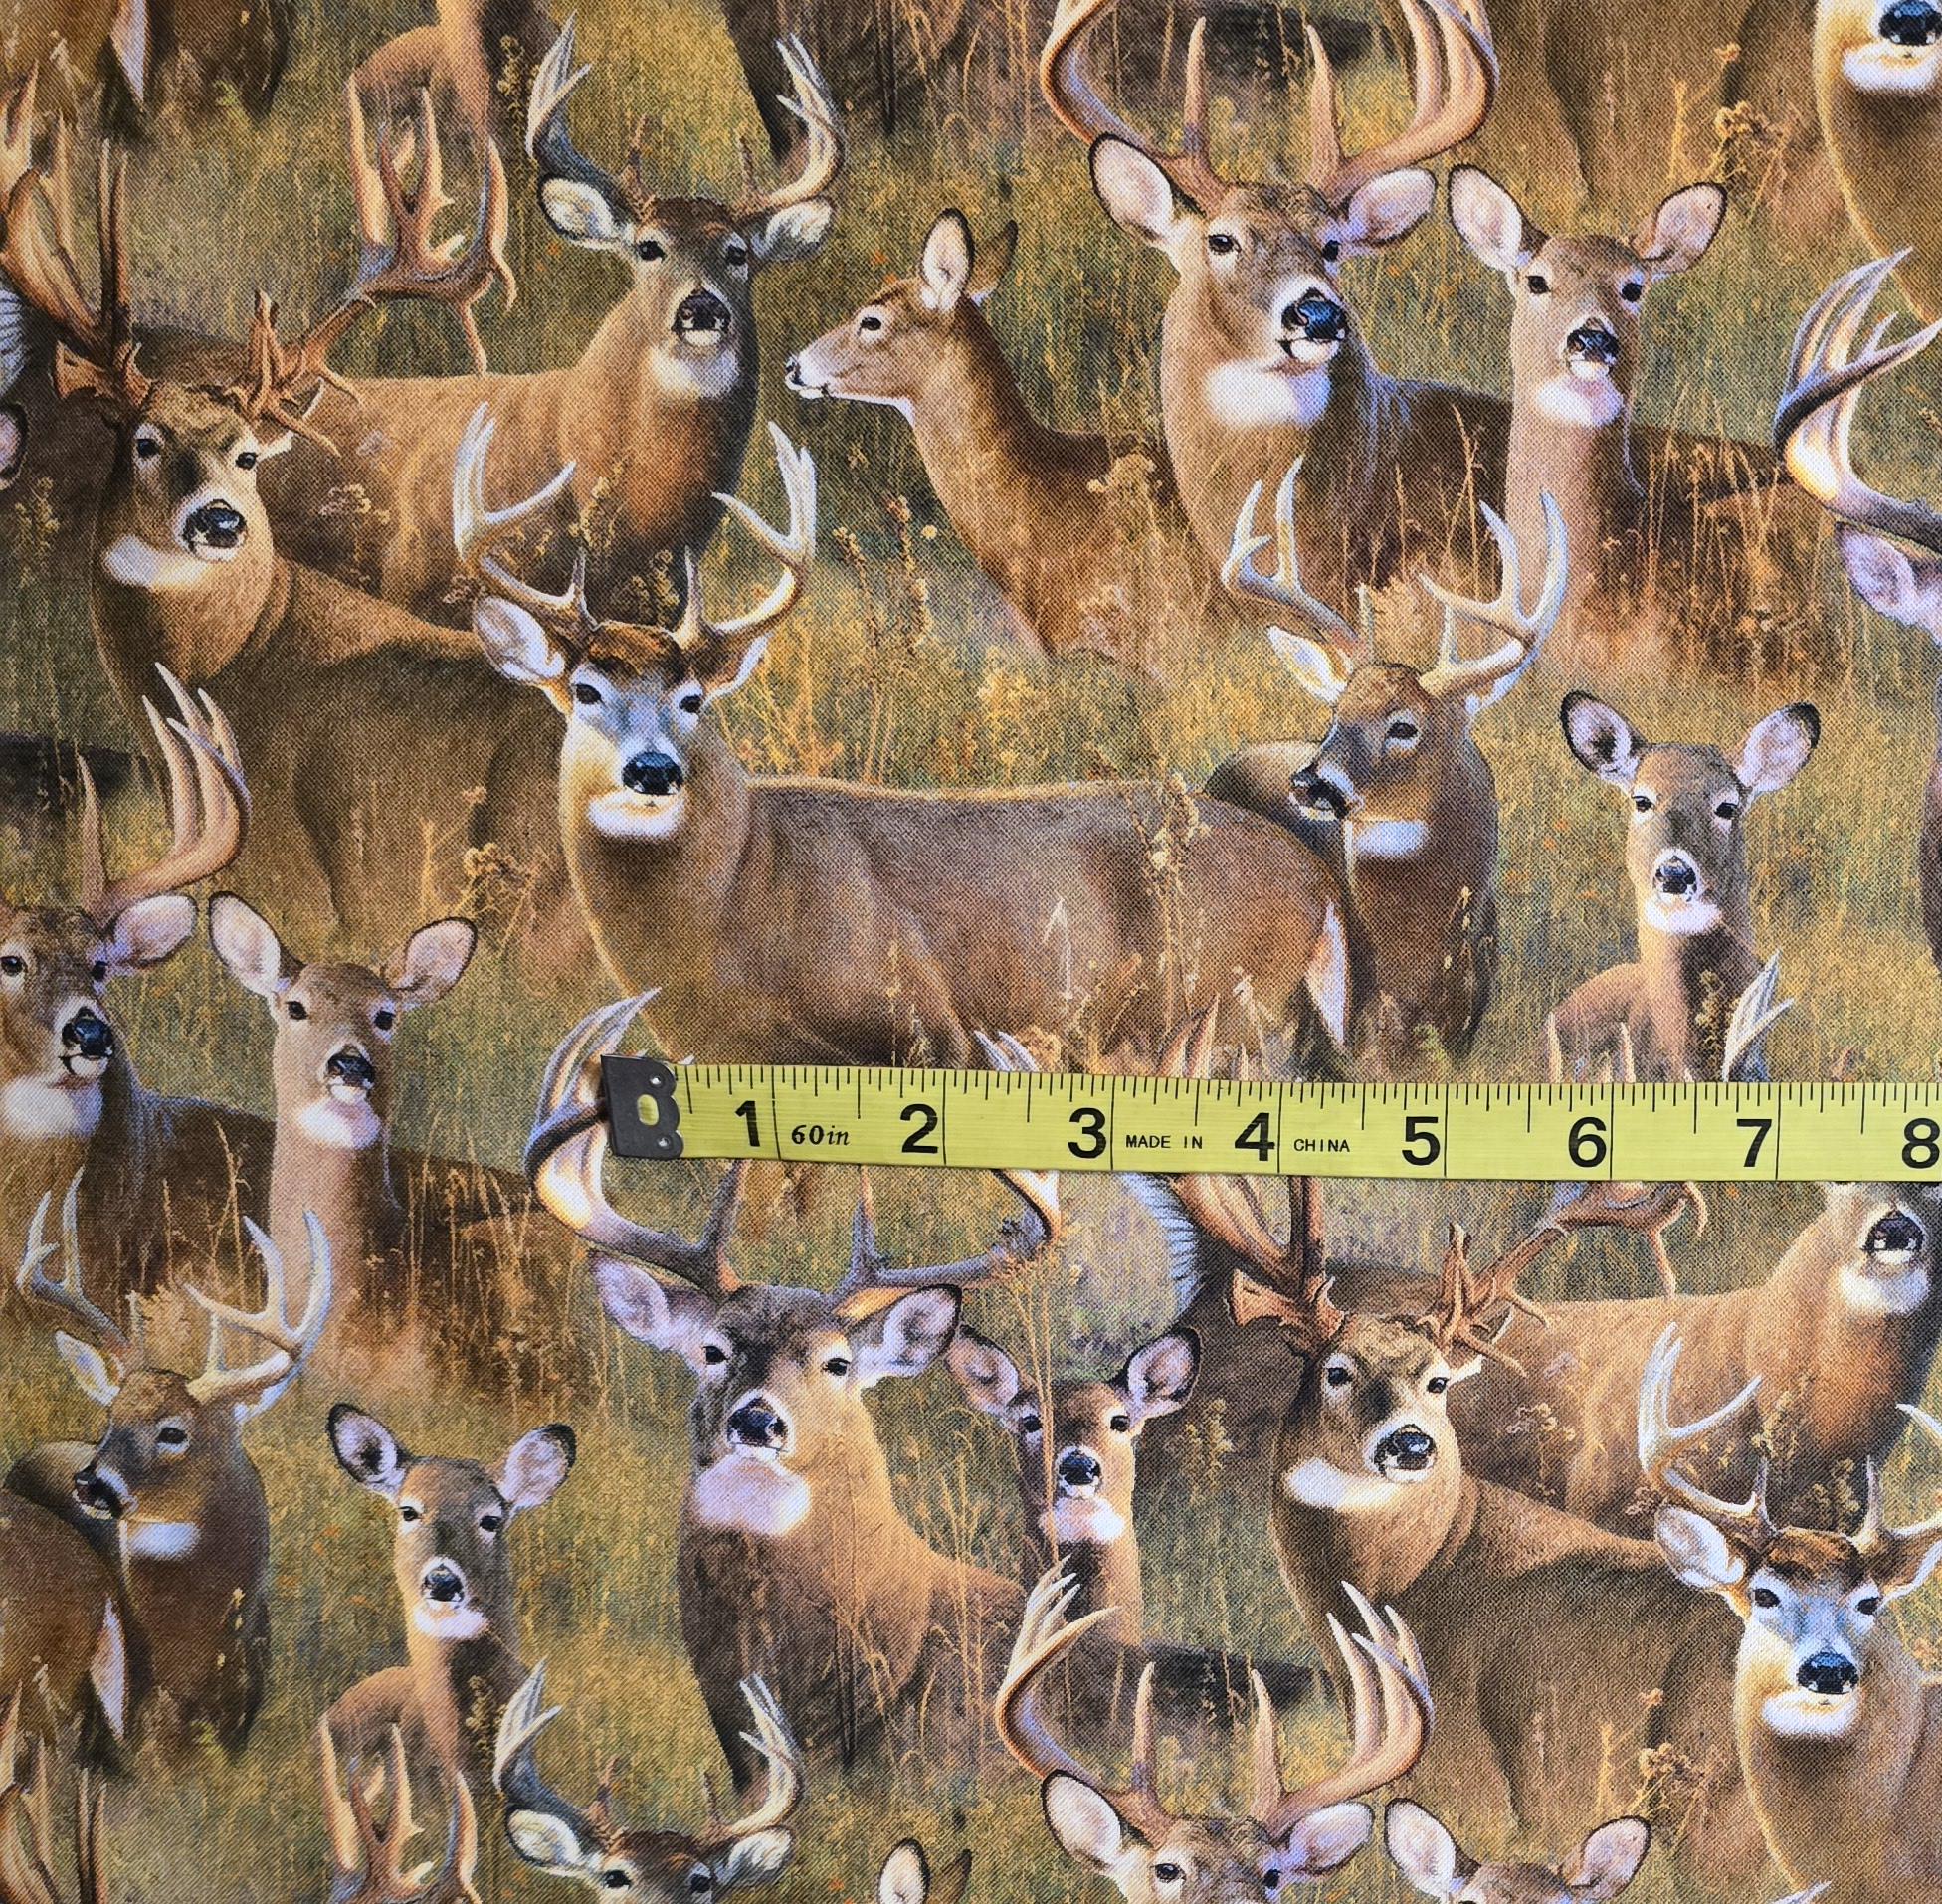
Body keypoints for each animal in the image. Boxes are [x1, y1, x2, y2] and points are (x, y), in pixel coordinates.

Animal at [460, 409, 1353, 1068]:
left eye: (691, 699)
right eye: (585, 691)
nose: (652, 770)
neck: (739, 899)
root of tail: (1315, 882)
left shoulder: (929, 1022)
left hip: (1218, 1012)